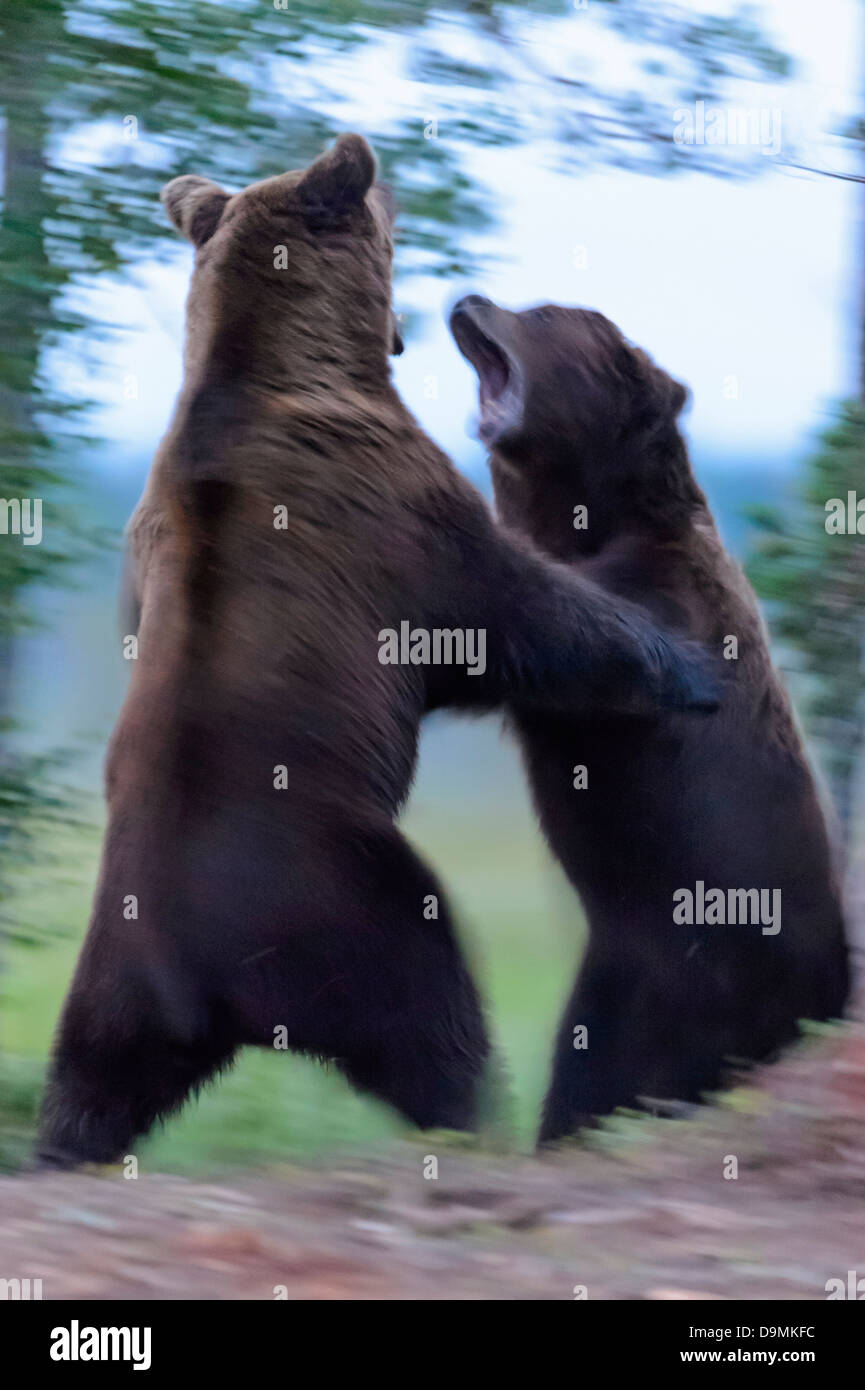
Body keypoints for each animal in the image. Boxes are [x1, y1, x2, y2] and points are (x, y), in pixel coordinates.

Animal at [35, 140, 716, 1169]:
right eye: (386, 208)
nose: (383, 173)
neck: (285, 361)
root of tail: (197, 982)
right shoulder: (396, 516)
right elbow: (520, 620)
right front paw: (687, 667)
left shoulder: (148, 547)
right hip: (350, 904)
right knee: (434, 1018)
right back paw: (480, 1123)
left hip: (109, 983)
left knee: (84, 1088)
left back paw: (53, 1151)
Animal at [450, 294, 850, 1145]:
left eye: (544, 314)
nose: (466, 301)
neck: (587, 518)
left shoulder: (656, 606)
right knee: (582, 1086)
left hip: (702, 970)